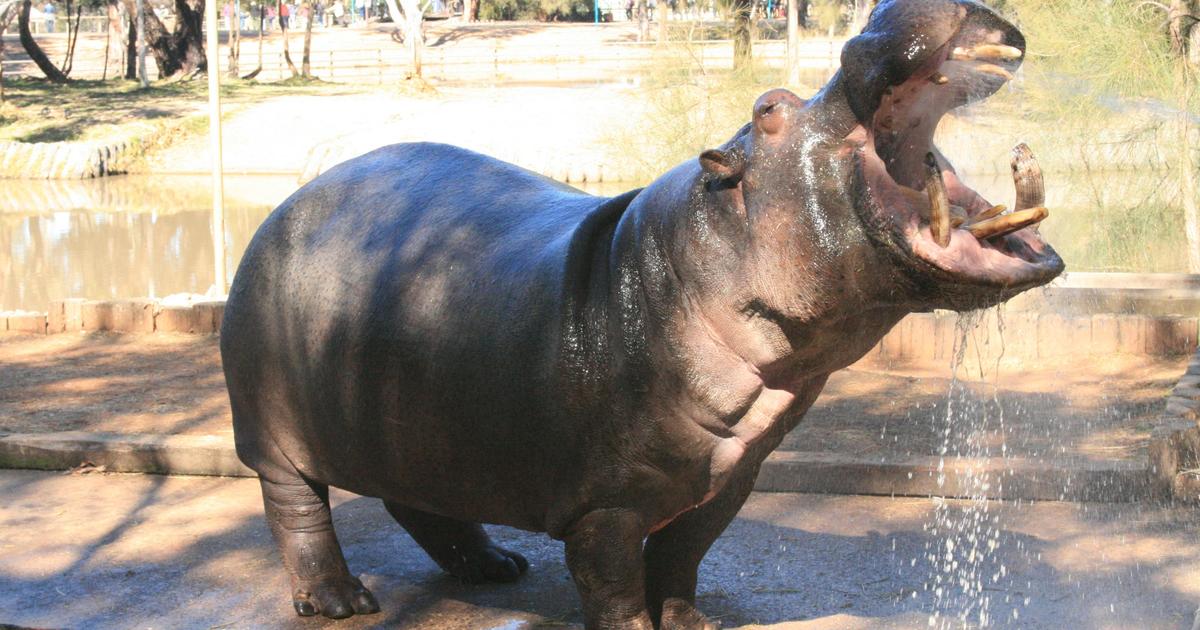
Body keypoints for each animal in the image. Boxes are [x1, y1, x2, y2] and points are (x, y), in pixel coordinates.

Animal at [220, 0, 1064, 626]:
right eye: (768, 109)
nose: (888, 13)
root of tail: (288, 202)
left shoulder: (727, 481)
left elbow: (682, 560)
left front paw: (694, 624)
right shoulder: (609, 505)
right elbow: (616, 584)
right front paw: (639, 625)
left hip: (419, 424)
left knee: (421, 501)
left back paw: (497, 568)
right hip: (274, 428)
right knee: (297, 511)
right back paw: (340, 601)